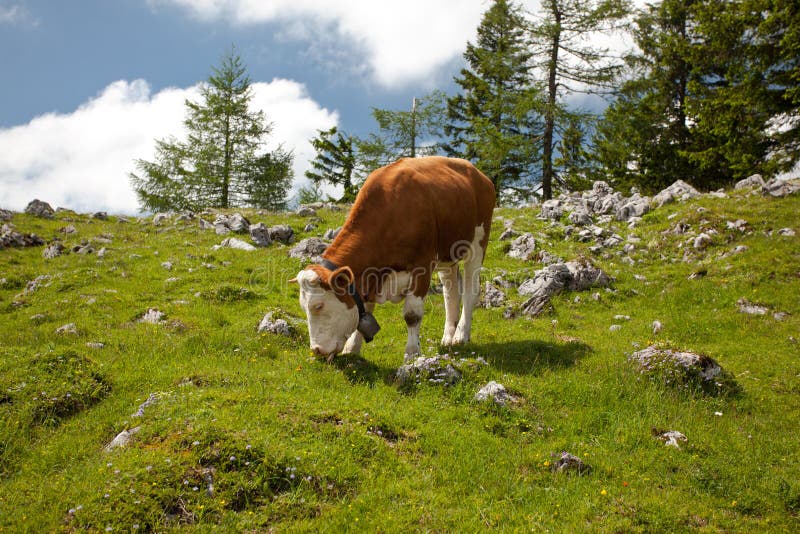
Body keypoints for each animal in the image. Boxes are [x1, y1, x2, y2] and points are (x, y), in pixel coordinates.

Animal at [291, 156, 495, 361]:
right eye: (303, 307)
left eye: (318, 306)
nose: (317, 350)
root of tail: (479, 174)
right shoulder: (370, 277)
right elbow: (365, 309)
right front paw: (353, 347)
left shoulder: (422, 266)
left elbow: (412, 314)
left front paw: (412, 353)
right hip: (447, 256)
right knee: (451, 294)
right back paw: (448, 337)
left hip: (478, 243)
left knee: (470, 291)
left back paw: (461, 335)